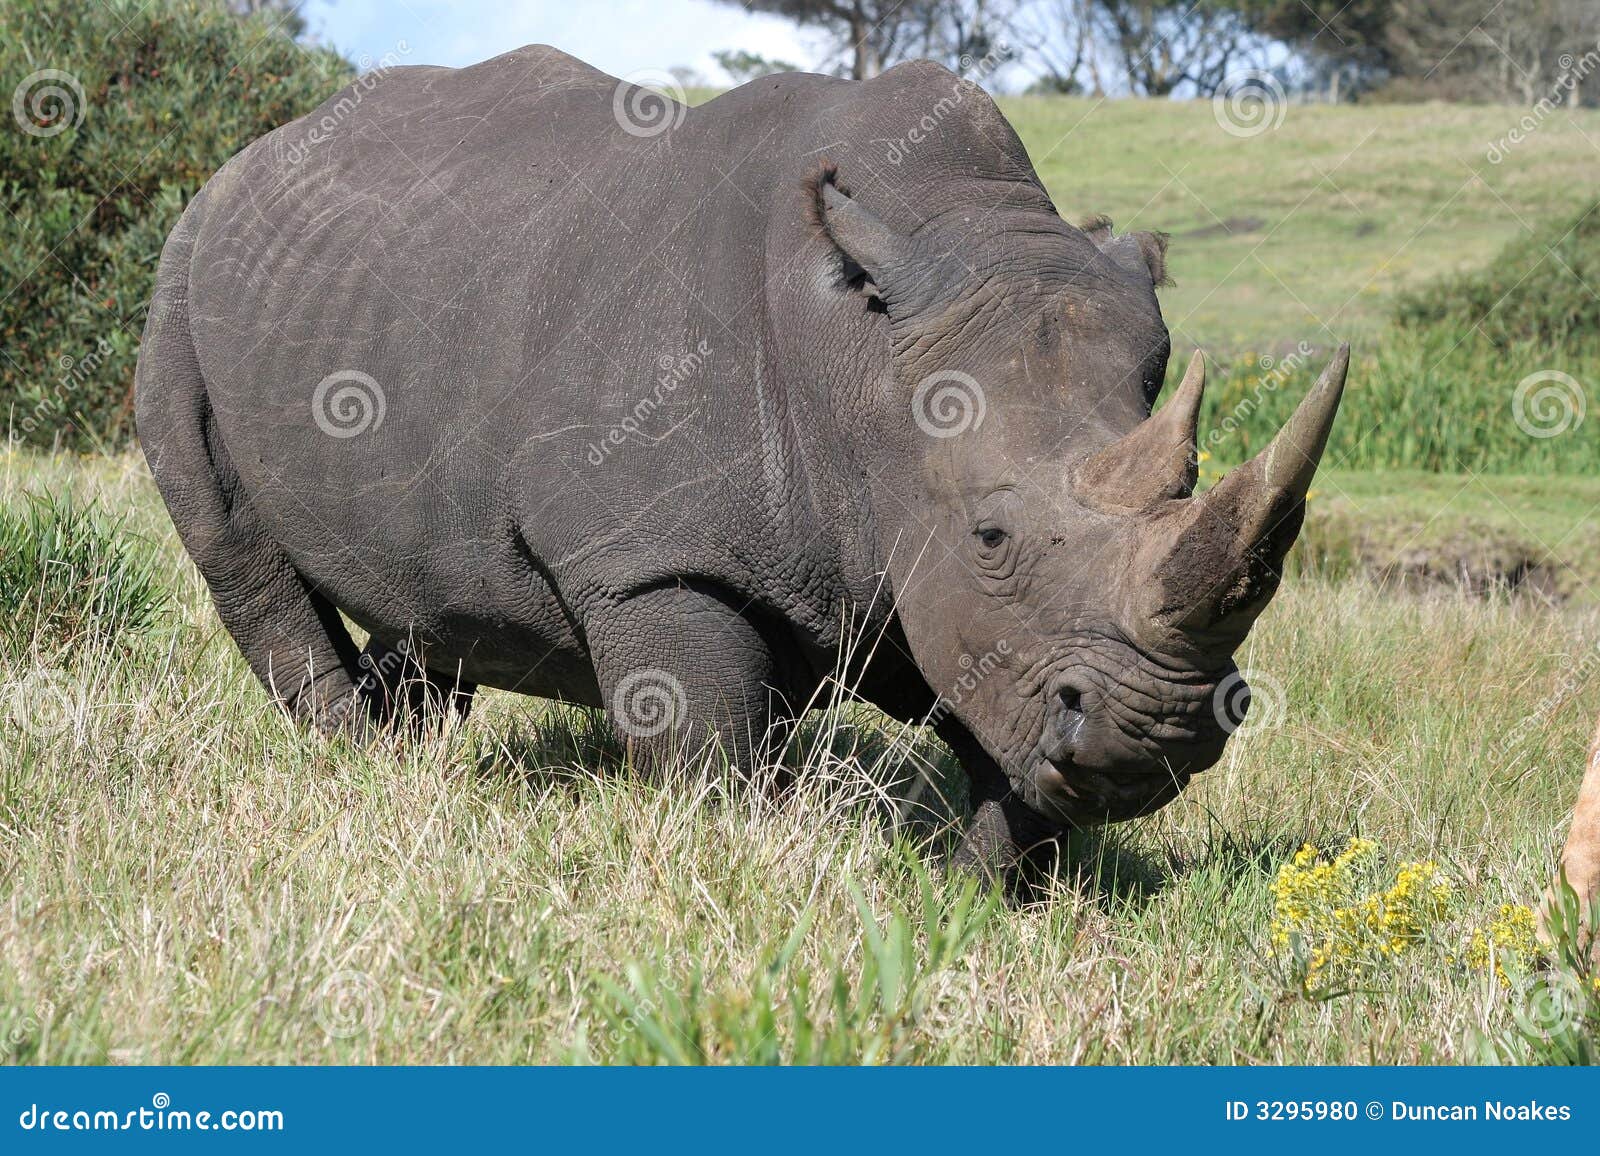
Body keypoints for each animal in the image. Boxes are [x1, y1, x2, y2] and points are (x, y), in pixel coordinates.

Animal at [135, 46, 1348, 875]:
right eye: (992, 534)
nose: (1157, 735)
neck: (862, 363)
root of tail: (249, 159)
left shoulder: (941, 591)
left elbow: (1003, 736)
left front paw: (984, 898)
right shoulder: (649, 554)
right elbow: (708, 746)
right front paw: (733, 871)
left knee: (426, 593)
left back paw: (409, 760)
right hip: (181, 275)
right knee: (236, 547)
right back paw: (356, 773)